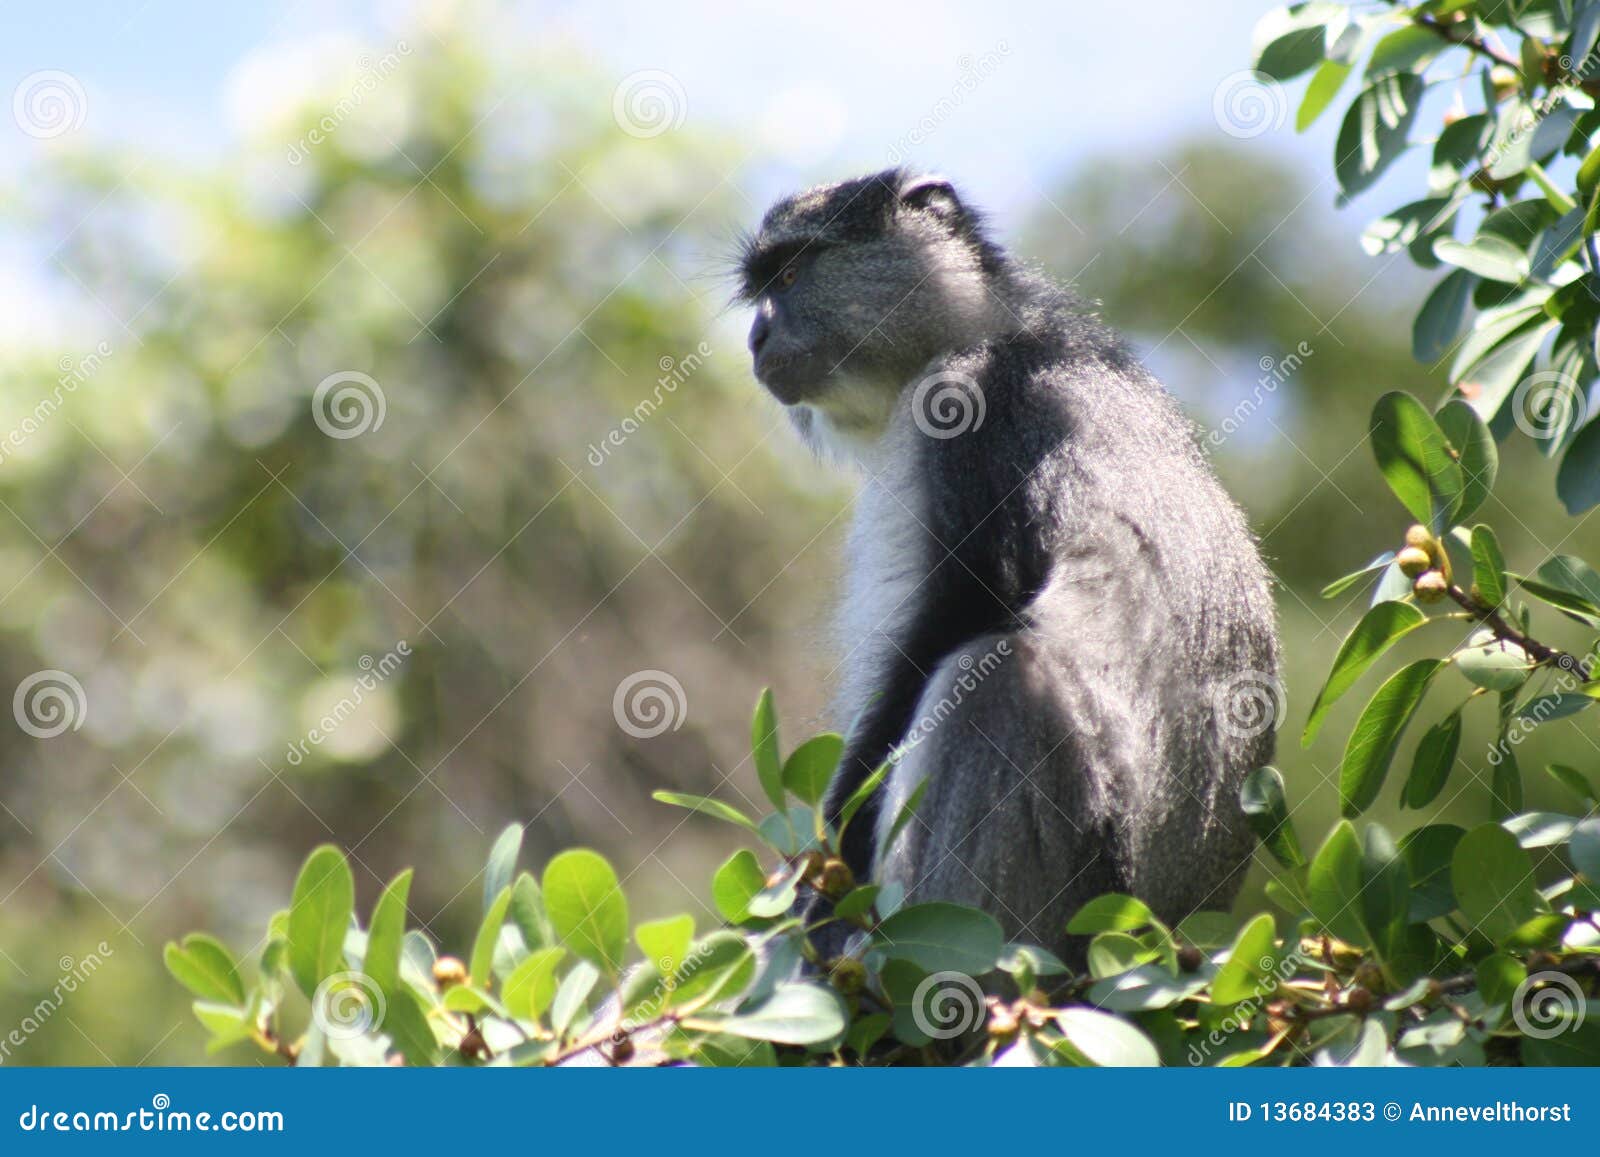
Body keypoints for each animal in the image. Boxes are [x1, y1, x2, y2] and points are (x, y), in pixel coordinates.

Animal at [736, 169, 1280, 963]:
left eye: (791, 273)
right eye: (760, 288)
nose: (756, 334)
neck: (990, 328)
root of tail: (1174, 931)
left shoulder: (972, 403)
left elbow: (972, 608)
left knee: (998, 677)